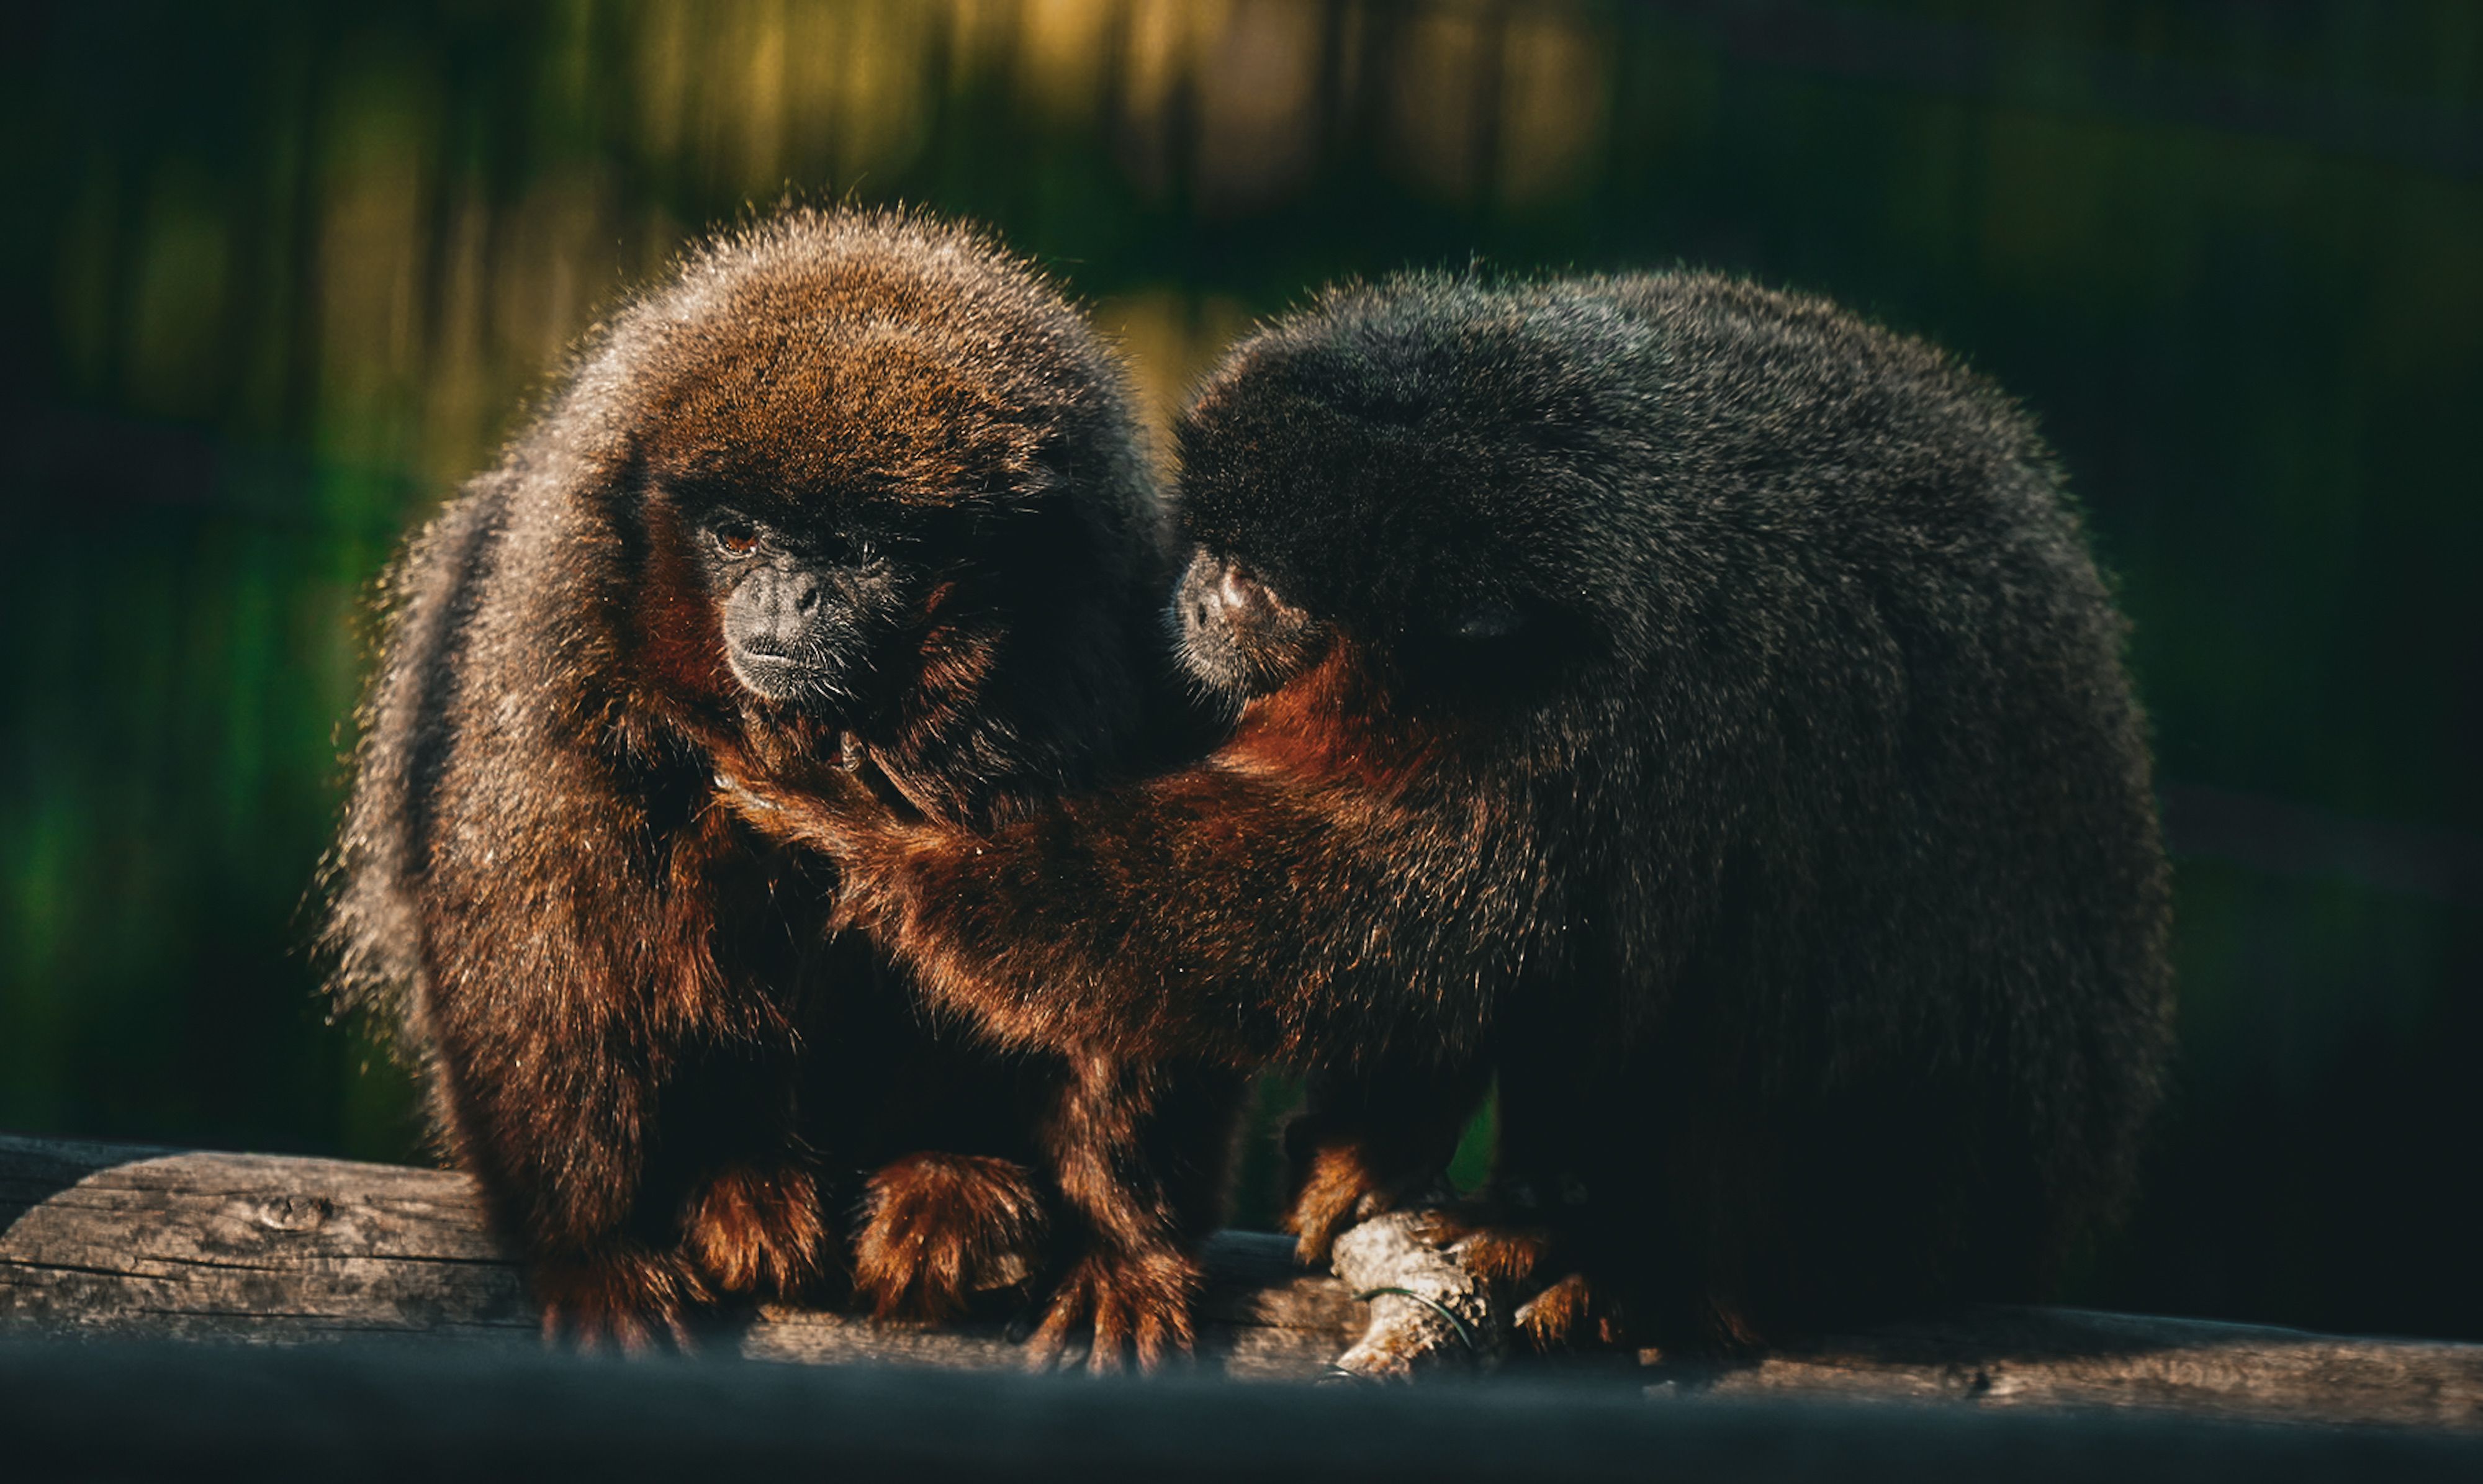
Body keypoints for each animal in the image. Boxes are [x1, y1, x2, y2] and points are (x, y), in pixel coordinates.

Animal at [323, 207, 1243, 1364]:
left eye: (857, 549)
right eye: (739, 535)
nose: (788, 595)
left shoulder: (1109, 627)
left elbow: (1136, 946)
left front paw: (1129, 1250)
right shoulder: (556, 623)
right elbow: (538, 921)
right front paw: (593, 1247)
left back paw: (950, 1178)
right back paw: (740, 1176)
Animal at [712, 269, 2177, 1353]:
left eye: (1261, 587)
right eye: (1213, 551)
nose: (1193, 595)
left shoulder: (1617, 717)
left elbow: (1367, 916)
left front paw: (889, 843)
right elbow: (1433, 951)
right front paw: (1379, 1142)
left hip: (1937, 1185)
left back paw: (1646, 1260)